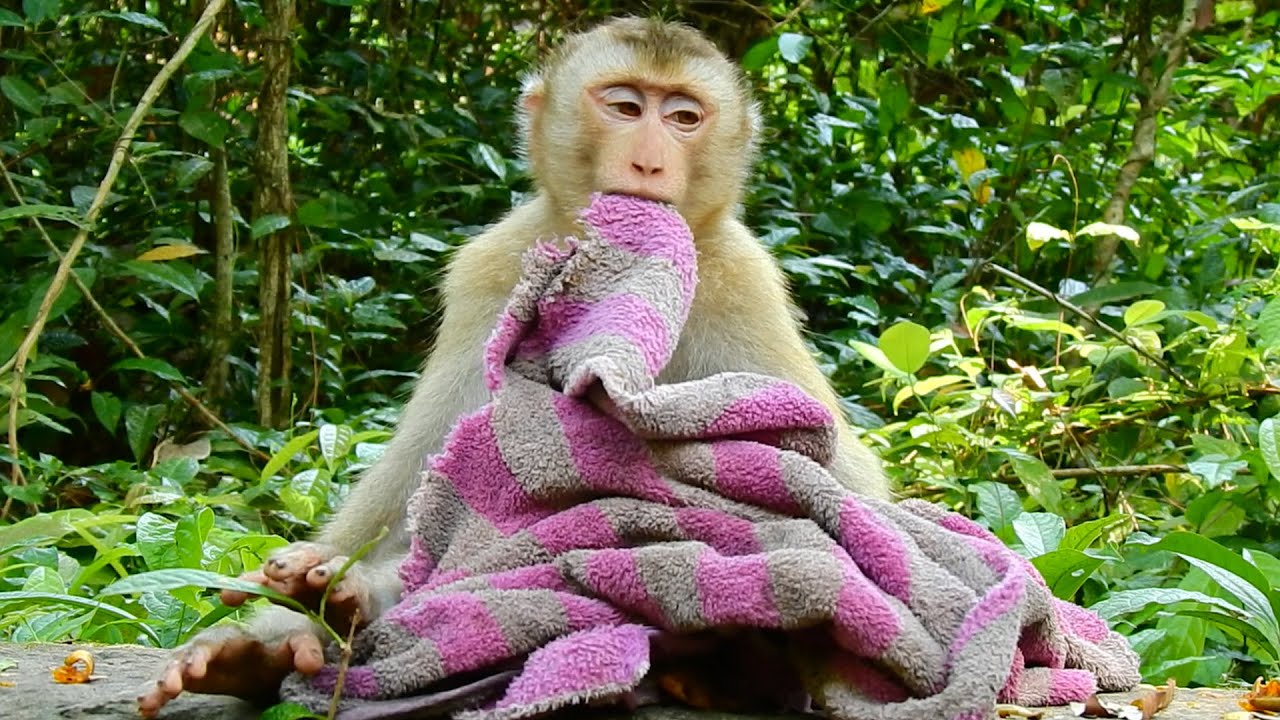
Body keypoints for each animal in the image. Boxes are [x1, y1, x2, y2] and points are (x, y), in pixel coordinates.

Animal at [137, 17, 890, 718]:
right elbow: (417, 479)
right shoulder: (493, 269)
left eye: (684, 118)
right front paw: (285, 620)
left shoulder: (744, 281)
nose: (649, 164)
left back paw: (731, 661)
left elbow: (848, 484)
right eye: (625, 107)